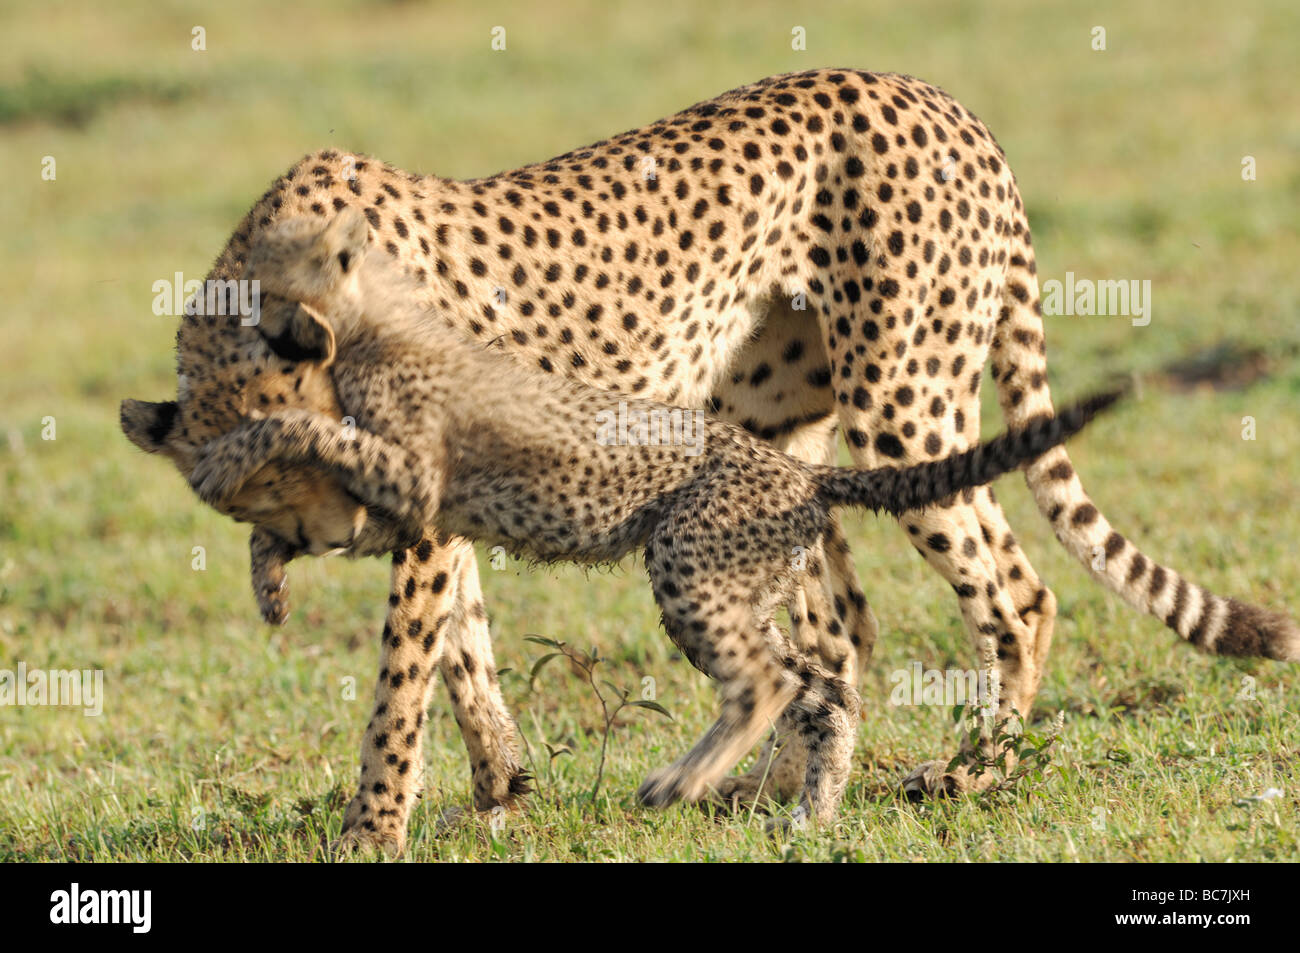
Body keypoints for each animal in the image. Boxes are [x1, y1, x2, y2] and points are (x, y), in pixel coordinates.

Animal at [183, 206, 1120, 828]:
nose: (224, 314)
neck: (376, 318)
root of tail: (799, 470)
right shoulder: (409, 506)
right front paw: (268, 571)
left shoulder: (411, 480)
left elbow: (304, 441)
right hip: (749, 560)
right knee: (823, 679)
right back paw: (806, 810)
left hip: (704, 551)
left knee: (783, 676)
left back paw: (698, 784)